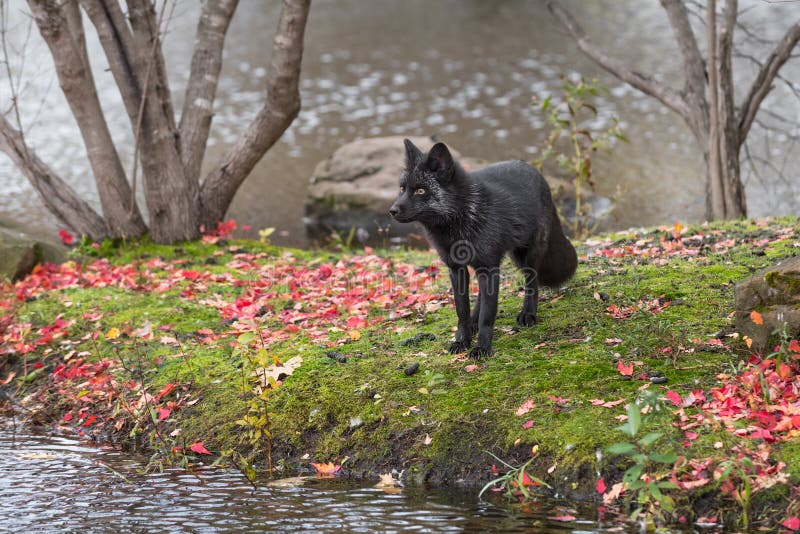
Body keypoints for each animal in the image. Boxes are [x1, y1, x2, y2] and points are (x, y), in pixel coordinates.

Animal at [389, 139, 577, 359]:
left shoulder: (488, 268)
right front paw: (462, 340)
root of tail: (536, 173)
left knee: (533, 282)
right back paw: (473, 322)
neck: (461, 219)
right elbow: (461, 312)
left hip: (526, 256)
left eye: (420, 190)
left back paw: (528, 314)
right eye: (402, 189)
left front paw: (483, 348)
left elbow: (488, 316)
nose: (392, 211)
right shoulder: (457, 269)